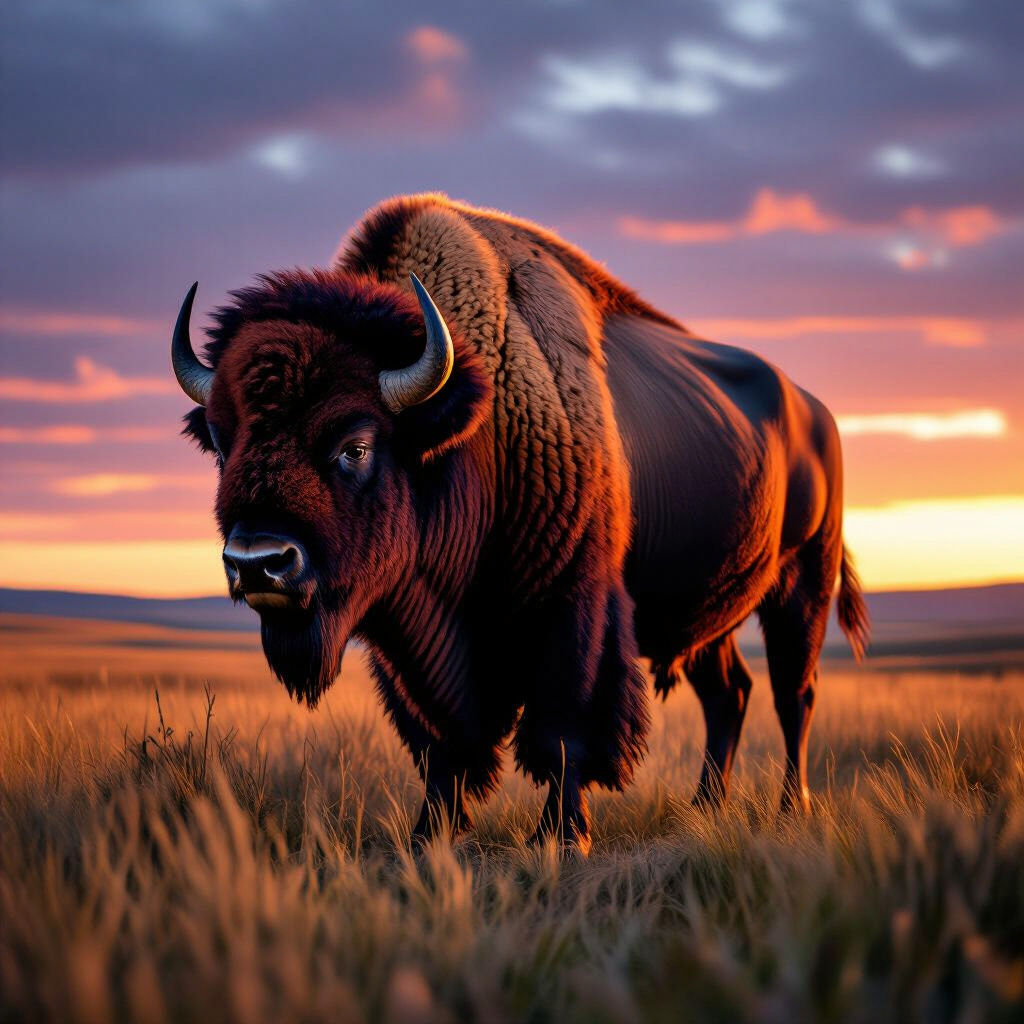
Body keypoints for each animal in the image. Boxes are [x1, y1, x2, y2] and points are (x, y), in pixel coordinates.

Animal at [173, 194, 869, 853]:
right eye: (221, 441)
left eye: (356, 445)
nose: (257, 562)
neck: (472, 431)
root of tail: (817, 414)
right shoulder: (410, 643)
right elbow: (441, 743)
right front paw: (430, 837)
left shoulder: (572, 609)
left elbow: (560, 732)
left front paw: (563, 838)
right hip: (707, 619)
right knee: (730, 692)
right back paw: (705, 809)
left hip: (803, 584)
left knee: (793, 693)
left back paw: (792, 808)